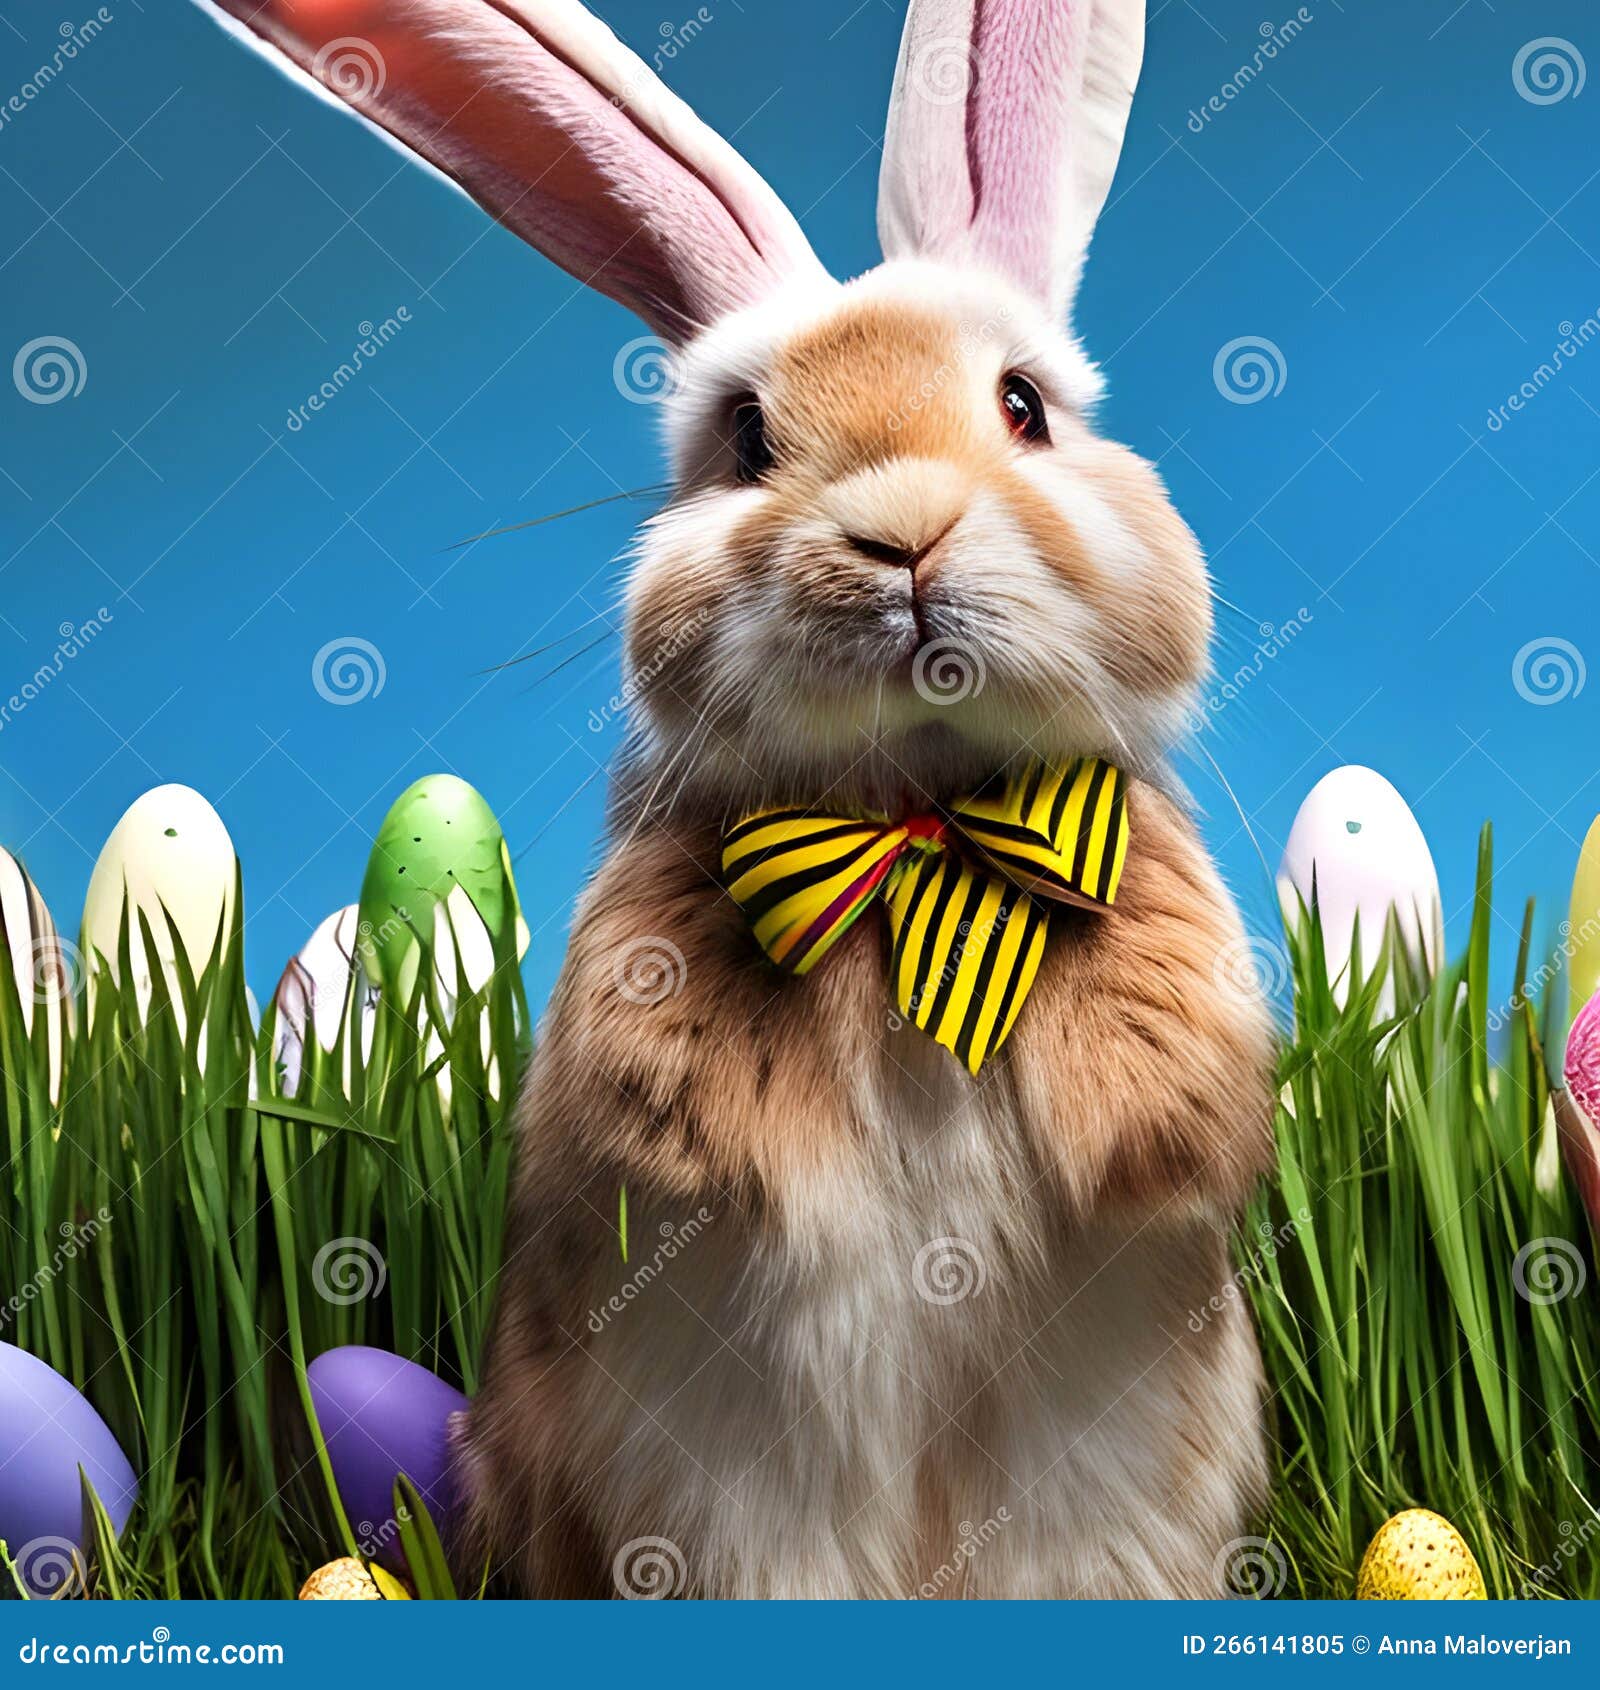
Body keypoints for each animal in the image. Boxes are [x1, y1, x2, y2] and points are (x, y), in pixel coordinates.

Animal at [205, 0, 1277, 1598]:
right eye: (749, 440)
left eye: (1023, 405)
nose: (902, 530)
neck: (909, 823)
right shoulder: (644, 953)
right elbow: (657, 1107)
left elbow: (1176, 1077)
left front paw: (1126, 1132)